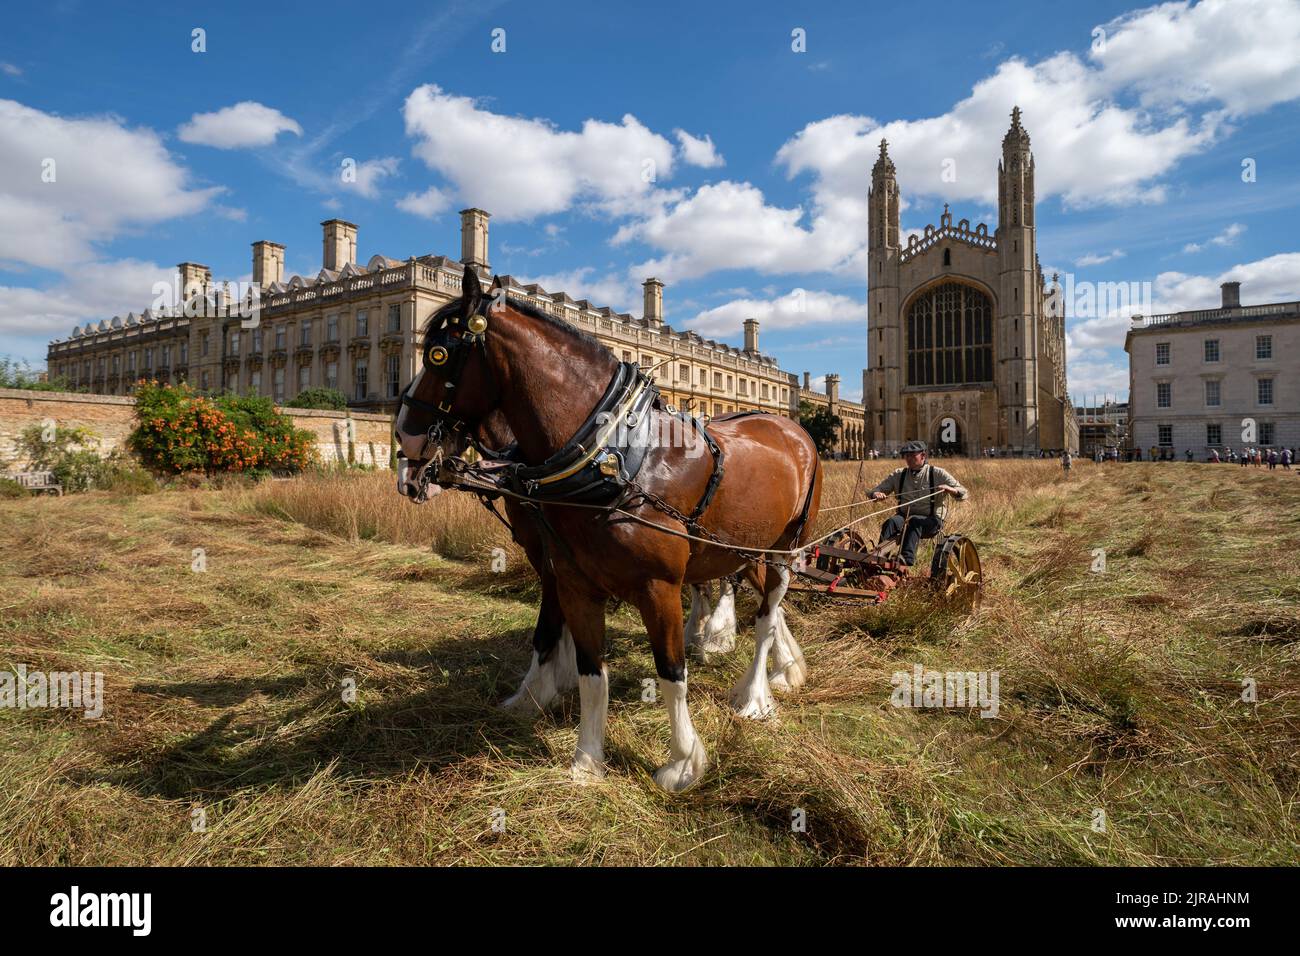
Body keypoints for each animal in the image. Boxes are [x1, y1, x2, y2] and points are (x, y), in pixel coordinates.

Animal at [394, 267, 821, 791]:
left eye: (438, 353)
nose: (405, 442)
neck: (614, 459)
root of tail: (793, 429)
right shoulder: (572, 580)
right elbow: (588, 669)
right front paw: (584, 760)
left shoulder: (658, 587)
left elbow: (669, 673)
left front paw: (681, 763)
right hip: (740, 547)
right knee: (765, 607)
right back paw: (778, 667)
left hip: (784, 549)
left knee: (765, 617)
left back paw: (755, 695)